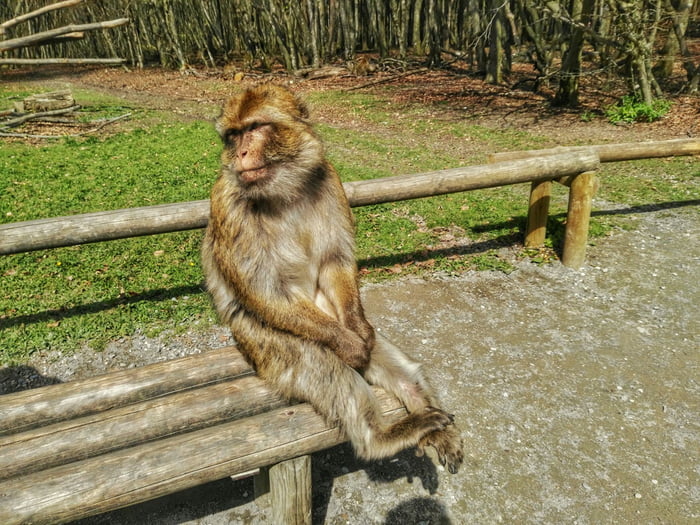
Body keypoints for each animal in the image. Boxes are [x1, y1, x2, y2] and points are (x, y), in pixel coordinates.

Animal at [201, 83, 463, 472]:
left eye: (256, 128)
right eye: (232, 136)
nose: (242, 152)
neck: (283, 191)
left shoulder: (329, 179)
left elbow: (334, 262)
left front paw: (360, 332)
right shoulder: (227, 203)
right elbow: (263, 290)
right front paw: (349, 346)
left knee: (397, 365)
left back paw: (429, 420)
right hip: (270, 347)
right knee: (328, 369)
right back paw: (383, 436)